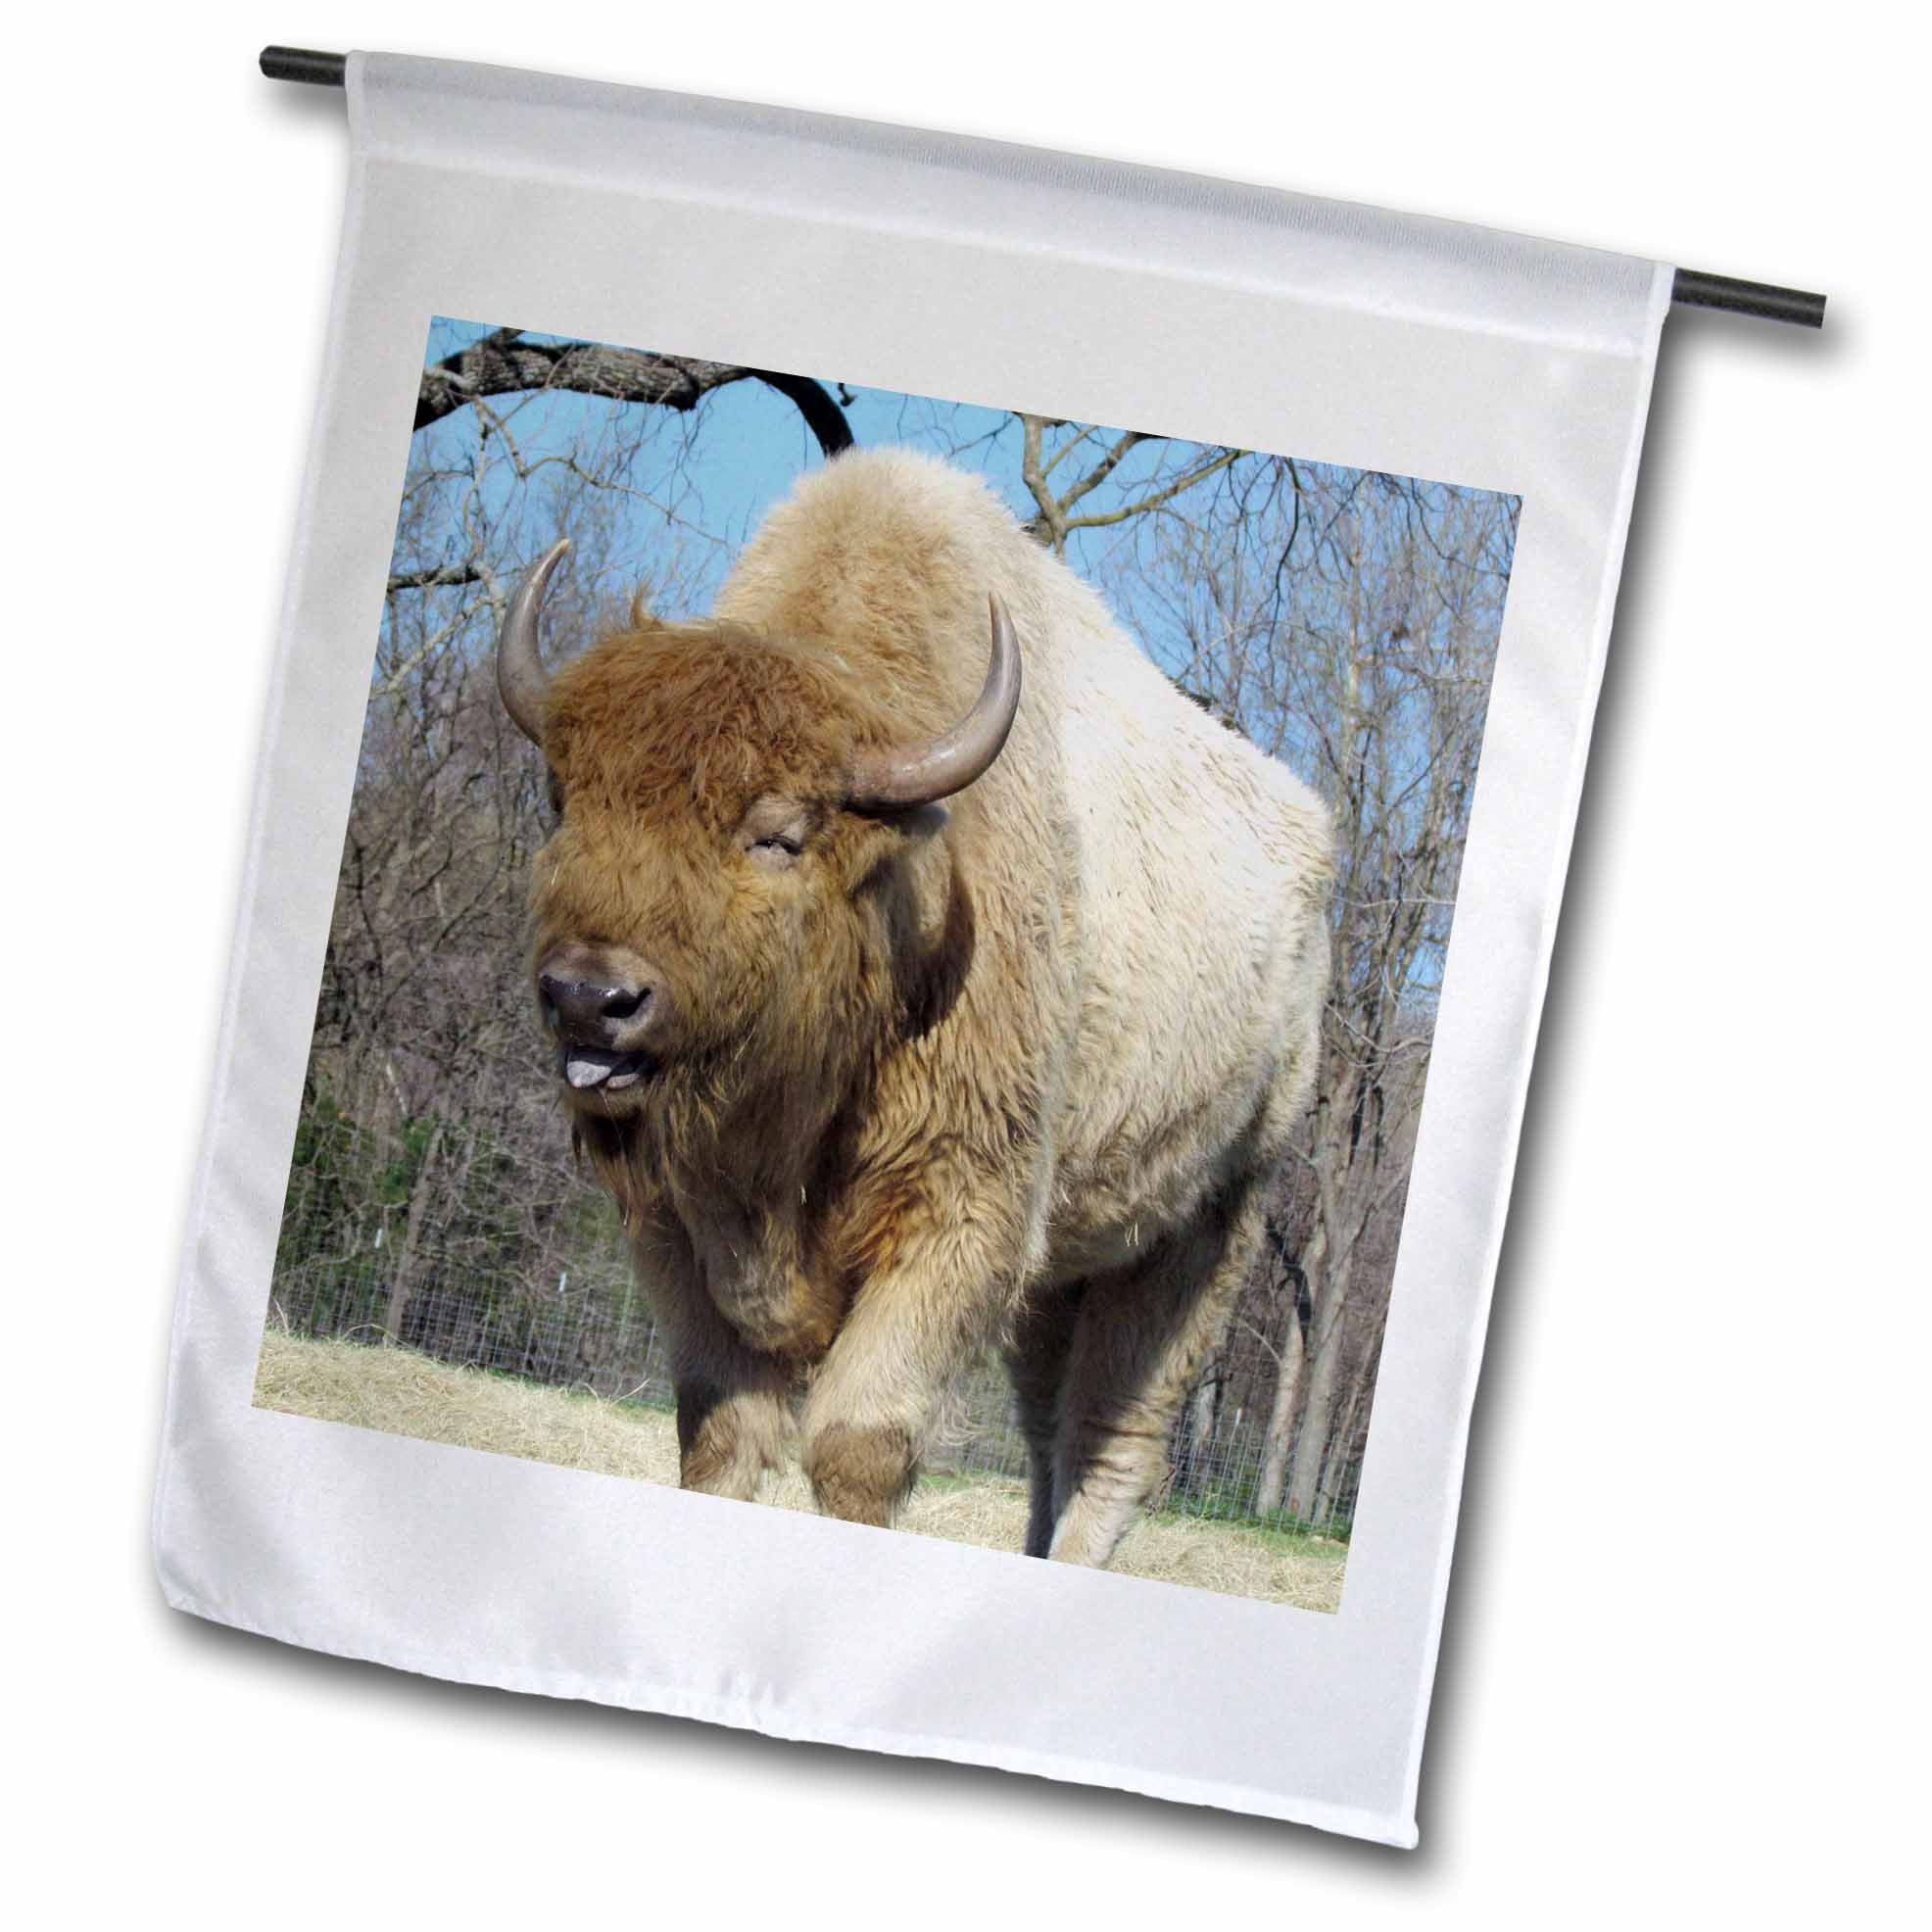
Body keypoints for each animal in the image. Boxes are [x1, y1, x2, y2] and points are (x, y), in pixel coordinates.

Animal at [496, 448, 1330, 1567]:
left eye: (778, 834)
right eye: (566, 801)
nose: (591, 997)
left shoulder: (958, 1215)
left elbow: (859, 1444)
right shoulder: (674, 1224)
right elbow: (718, 1431)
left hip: (1202, 1231)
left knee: (1110, 1449)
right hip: (1064, 1273)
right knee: (1046, 1434)